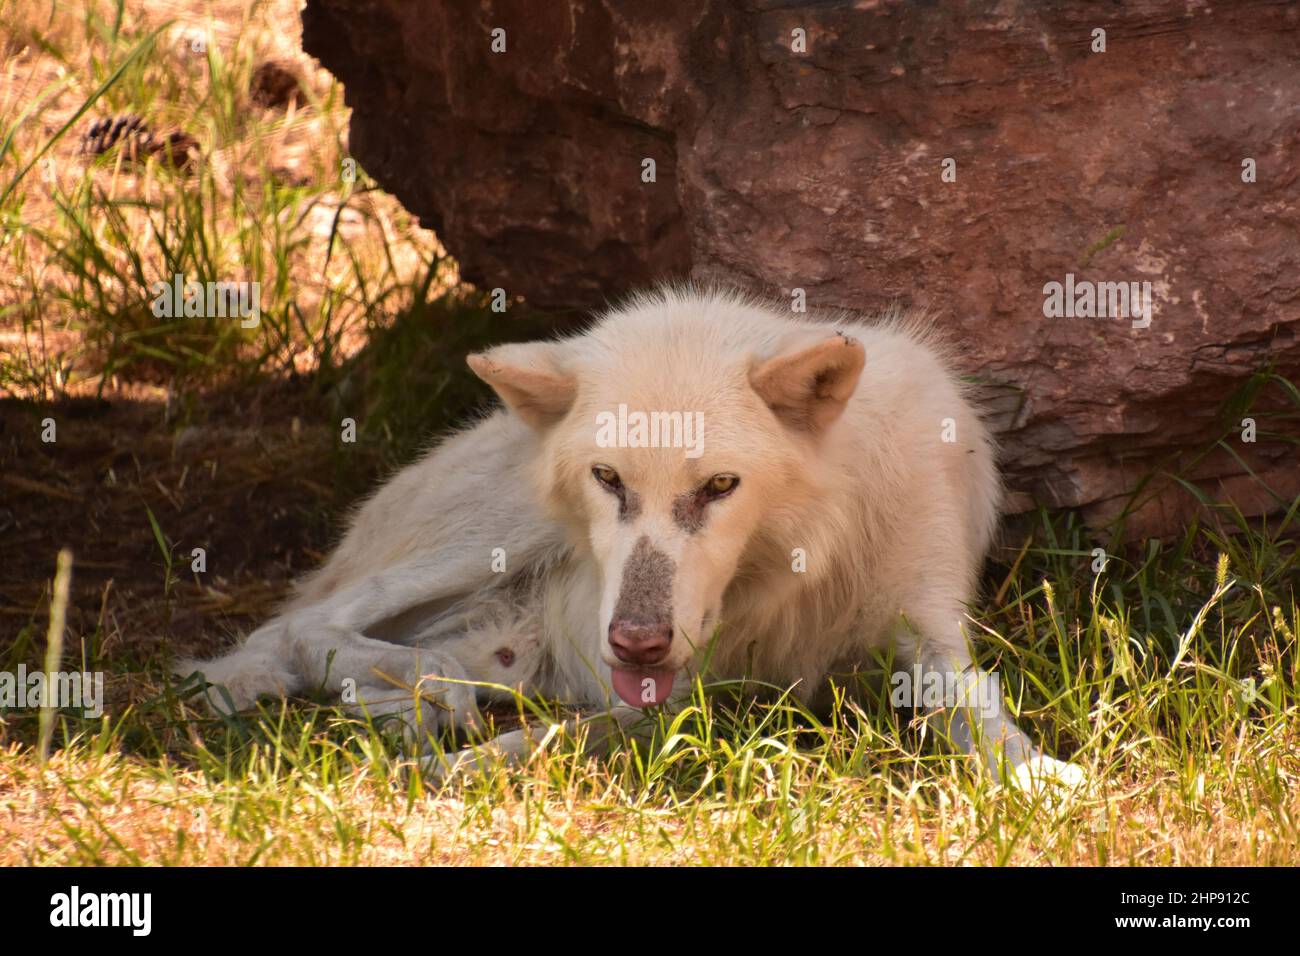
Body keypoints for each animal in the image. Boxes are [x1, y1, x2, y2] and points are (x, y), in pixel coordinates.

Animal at [180, 286, 1083, 790]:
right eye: (609, 478)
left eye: (719, 487)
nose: (636, 643)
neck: (804, 558)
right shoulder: (683, 694)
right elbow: (556, 737)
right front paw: (448, 770)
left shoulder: (930, 632)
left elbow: (977, 712)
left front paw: (1037, 776)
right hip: (495, 535)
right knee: (302, 623)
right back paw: (421, 694)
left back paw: (415, 697)